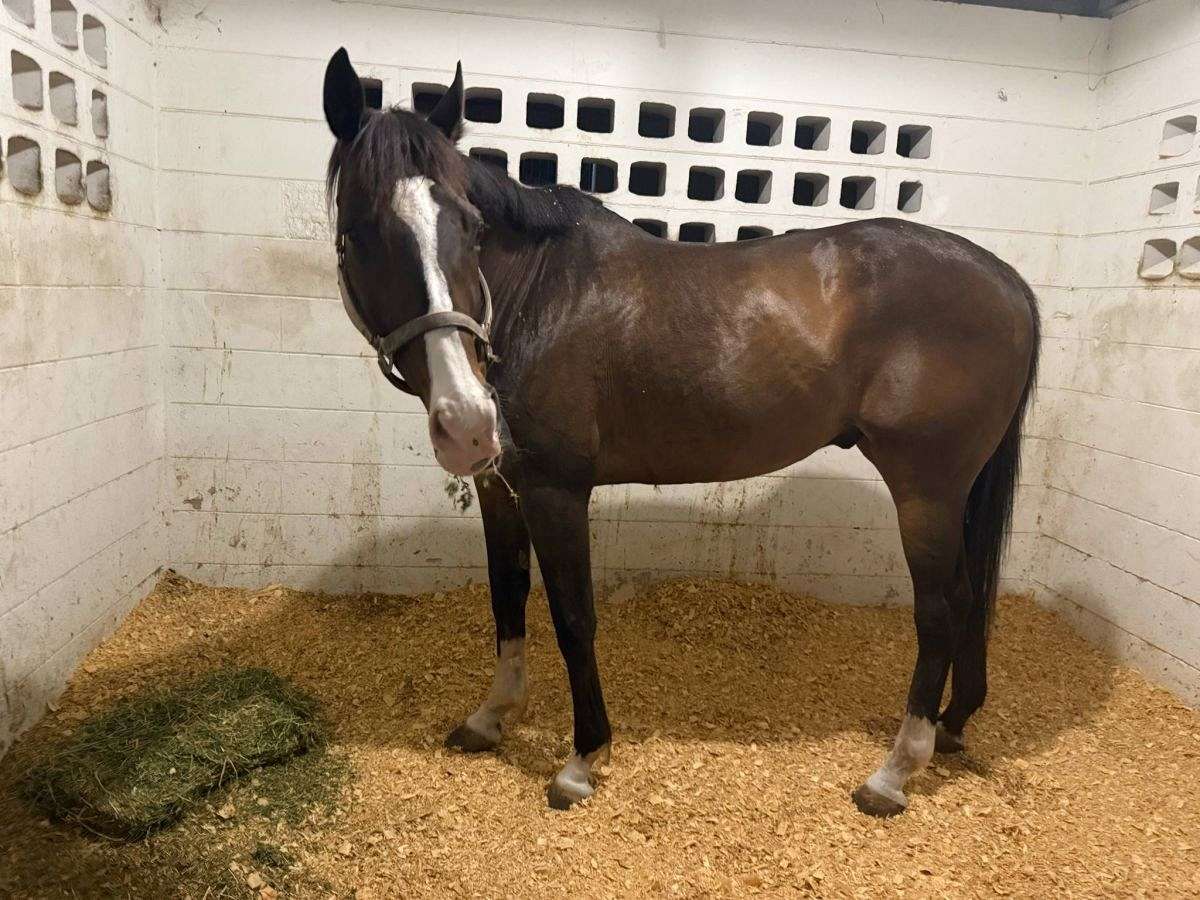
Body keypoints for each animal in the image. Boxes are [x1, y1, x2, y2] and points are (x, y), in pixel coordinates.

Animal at [321, 49, 1040, 816]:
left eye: (471, 227)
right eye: (360, 232)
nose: (468, 422)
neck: (537, 296)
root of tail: (1009, 284)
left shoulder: (555, 492)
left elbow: (573, 618)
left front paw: (583, 758)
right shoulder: (501, 490)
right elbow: (506, 601)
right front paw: (491, 718)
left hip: (925, 490)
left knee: (940, 611)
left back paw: (894, 772)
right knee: (968, 599)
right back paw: (953, 725)